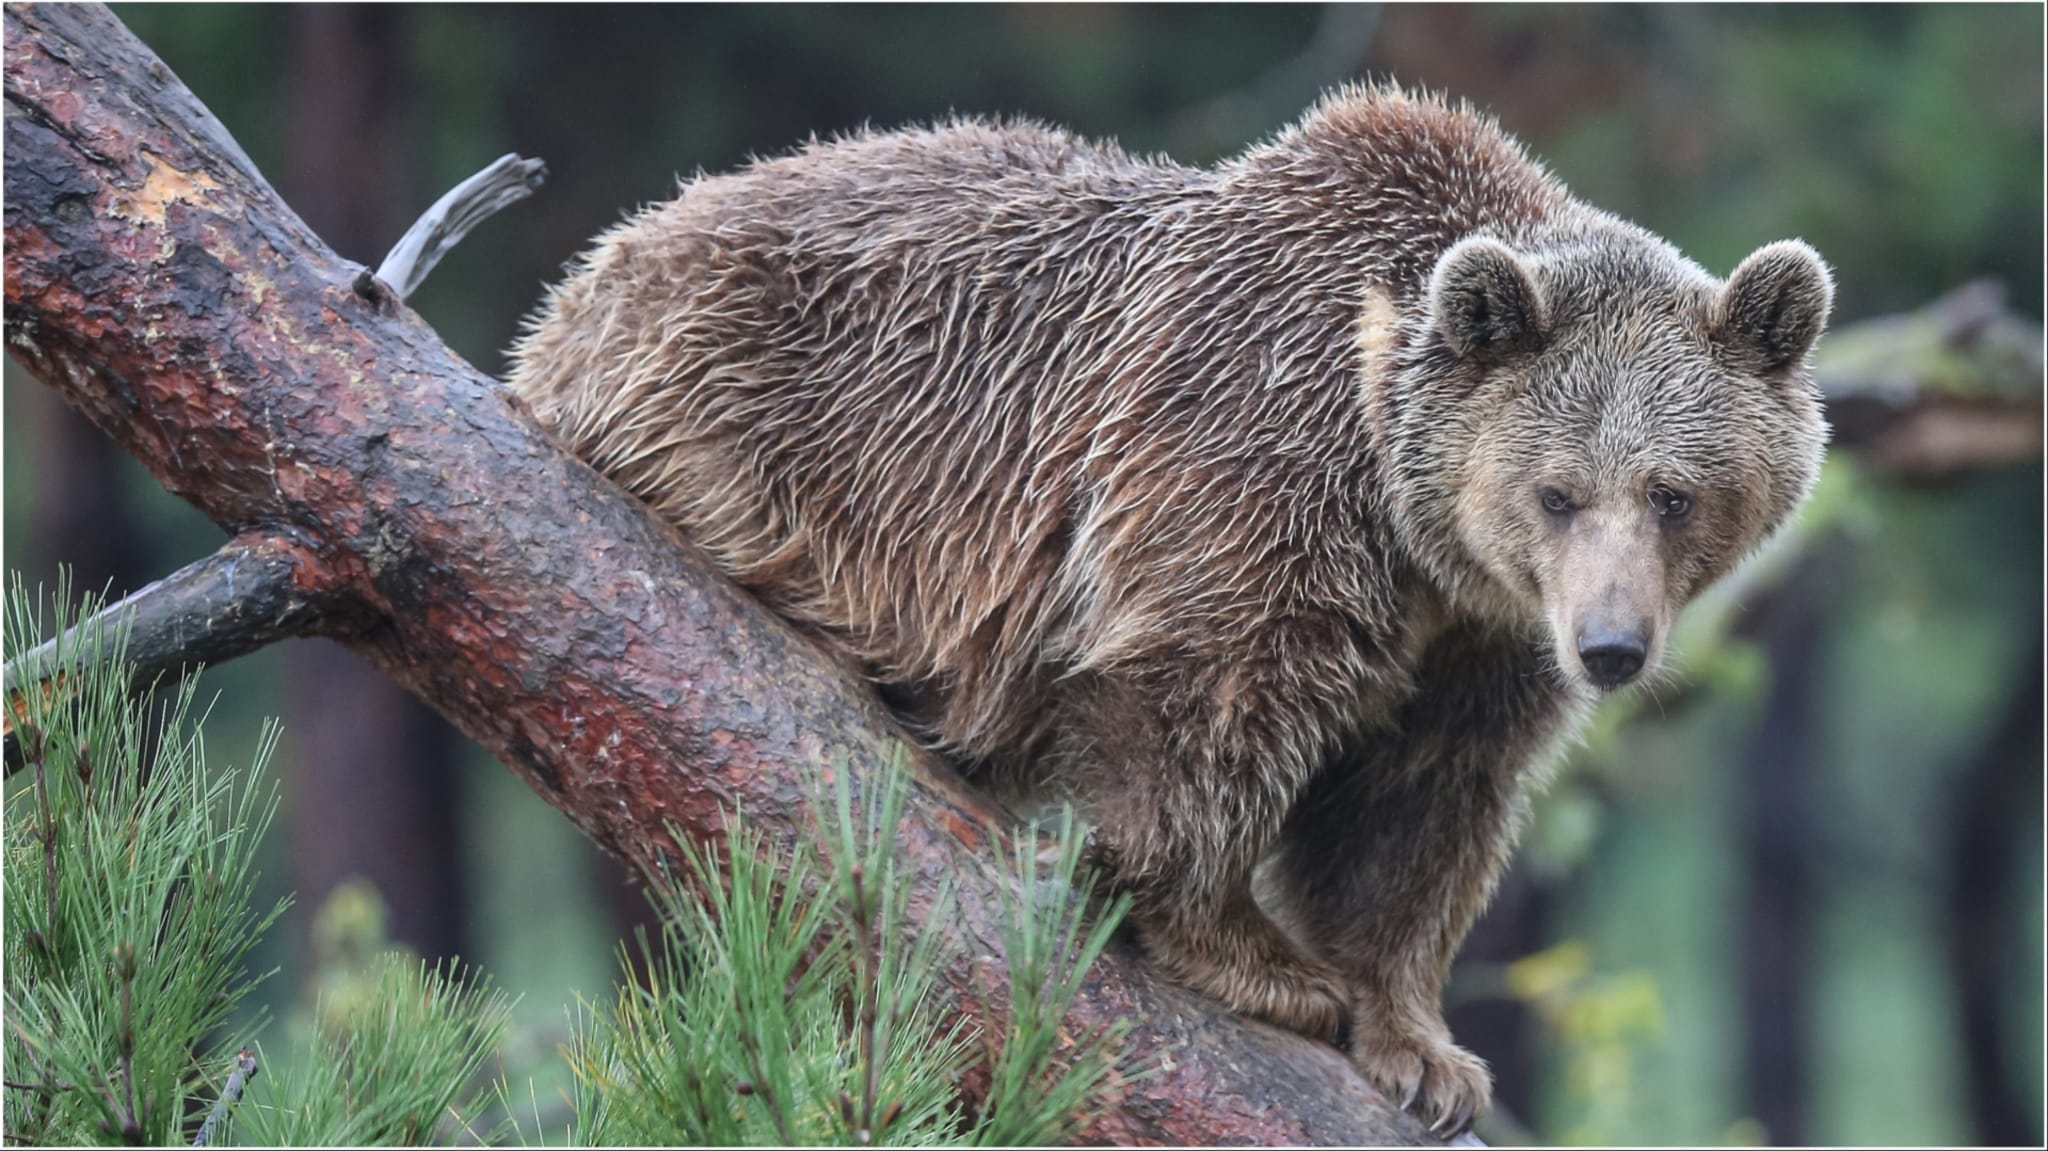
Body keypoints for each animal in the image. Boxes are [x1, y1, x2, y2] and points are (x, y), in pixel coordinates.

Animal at [506, 83, 1833, 1134]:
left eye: (1672, 492)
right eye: (1555, 492)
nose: (1609, 647)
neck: (1405, 515)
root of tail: (584, 282)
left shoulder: (1479, 636)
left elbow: (1419, 802)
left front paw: (1421, 1047)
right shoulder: (1246, 446)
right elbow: (1205, 690)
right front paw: (1255, 957)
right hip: (748, 417)